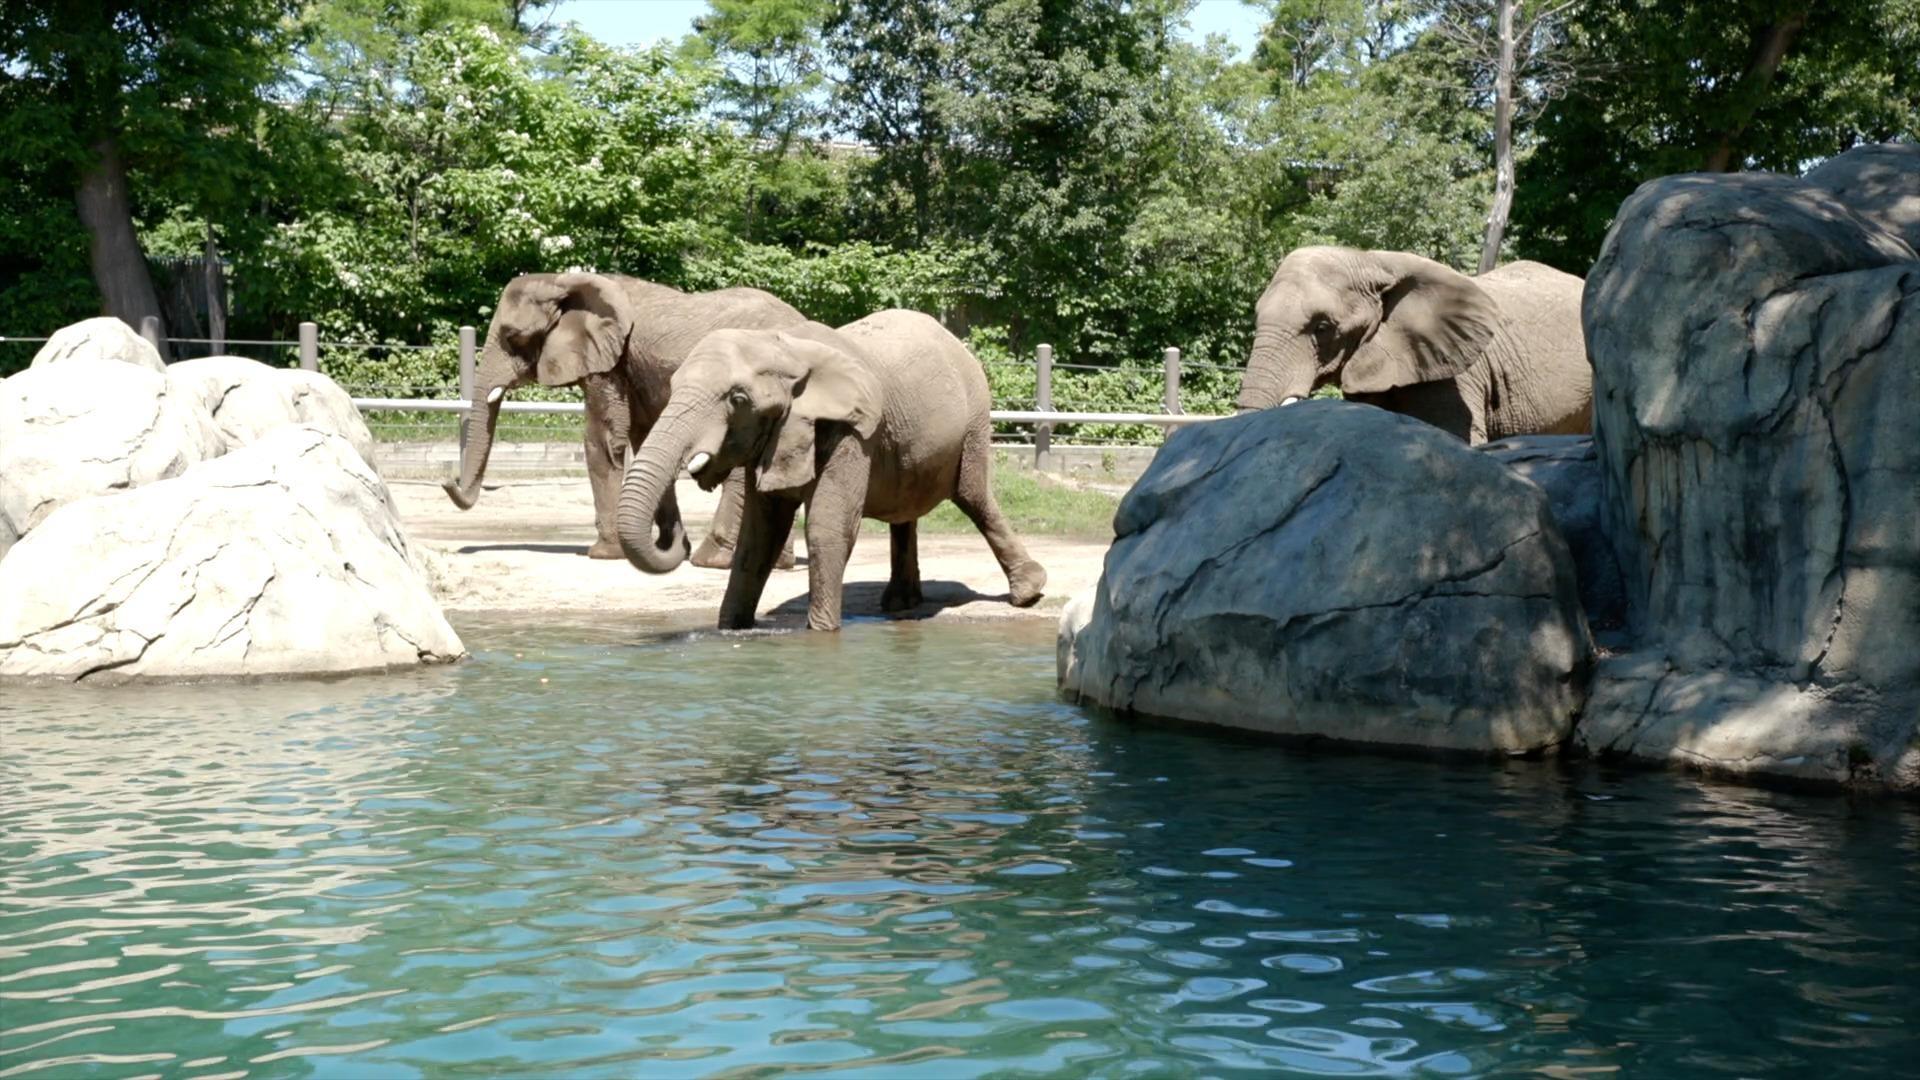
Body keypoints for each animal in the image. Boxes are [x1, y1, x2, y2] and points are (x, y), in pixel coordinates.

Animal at [442, 272, 802, 569]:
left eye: (513, 336)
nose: (448, 480)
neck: (563, 280)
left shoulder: (609, 363)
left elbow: (601, 439)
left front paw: (604, 554)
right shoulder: (631, 368)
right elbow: (644, 440)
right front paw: (669, 546)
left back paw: (713, 560)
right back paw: (773, 563)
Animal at [614, 309, 1049, 631]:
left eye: (737, 399)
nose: (673, 539)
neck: (785, 349)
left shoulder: (853, 429)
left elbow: (828, 525)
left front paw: (822, 634)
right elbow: (759, 534)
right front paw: (731, 628)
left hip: (974, 420)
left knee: (973, 496)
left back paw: (1028, 592)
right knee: (906, 511)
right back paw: (900, 604)